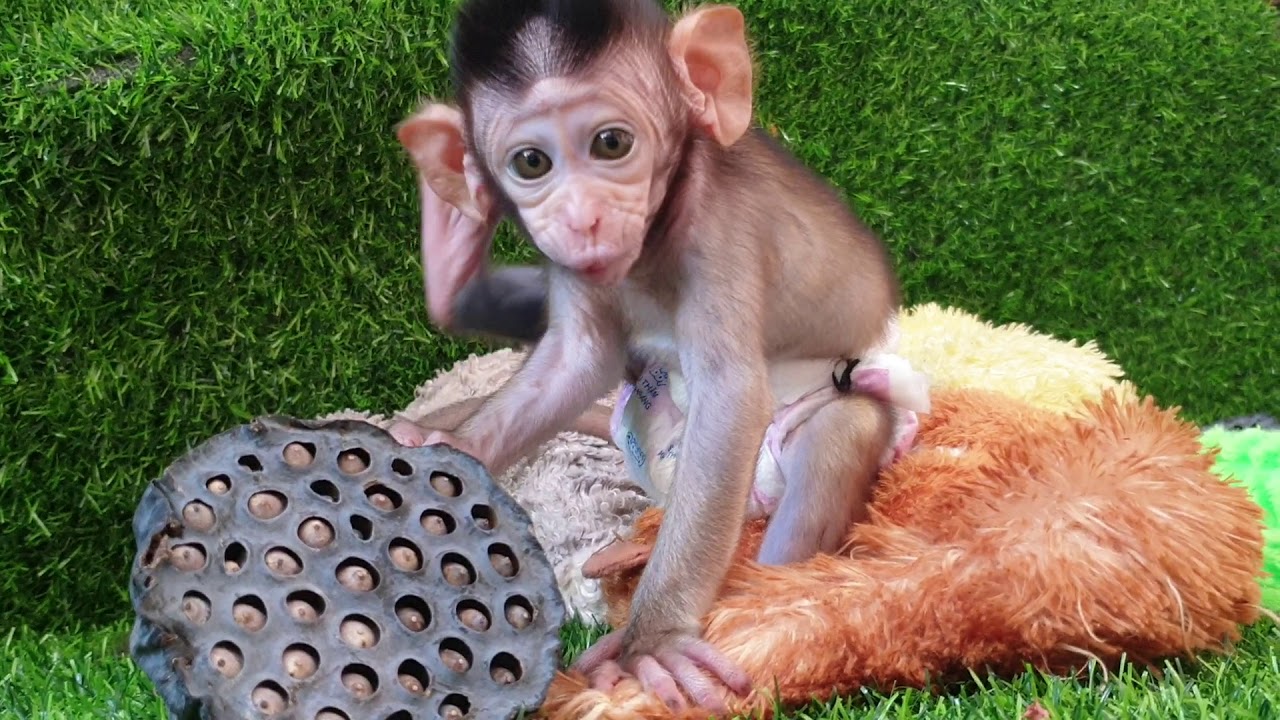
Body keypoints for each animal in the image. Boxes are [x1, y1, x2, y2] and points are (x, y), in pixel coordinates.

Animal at [390, 0, 932, 712]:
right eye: (531, 162)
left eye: (611, 144)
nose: (582, 218)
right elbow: (573, 361)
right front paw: (447, 448)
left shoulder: (721, 230)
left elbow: (730, 395)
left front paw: (654, 641)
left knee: (836, 433)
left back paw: (767, 604)